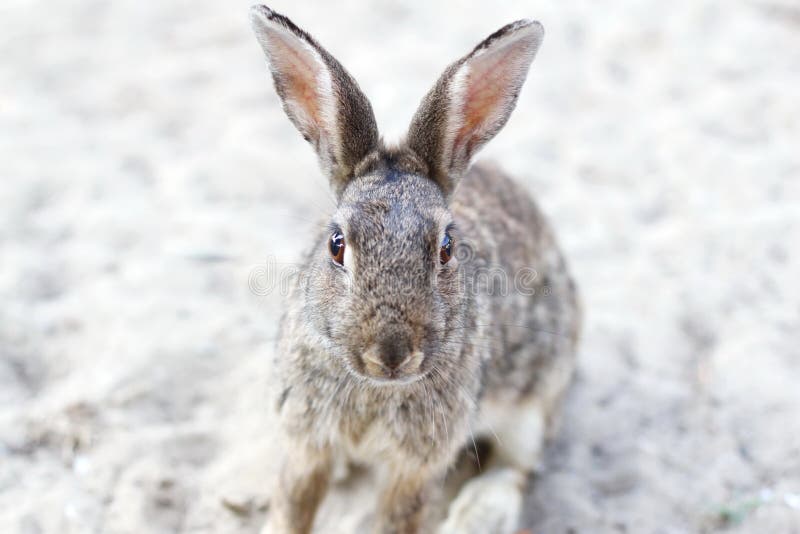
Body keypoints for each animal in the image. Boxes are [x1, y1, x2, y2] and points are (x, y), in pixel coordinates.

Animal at [249, 5, 581, 534]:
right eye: (336, 245)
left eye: (446, 248)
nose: (390, 353)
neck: (374, 387)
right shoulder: (306, 441)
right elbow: (293, 504)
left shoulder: (417, 465)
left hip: (534, 401)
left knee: (519, 468)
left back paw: (478, 513)